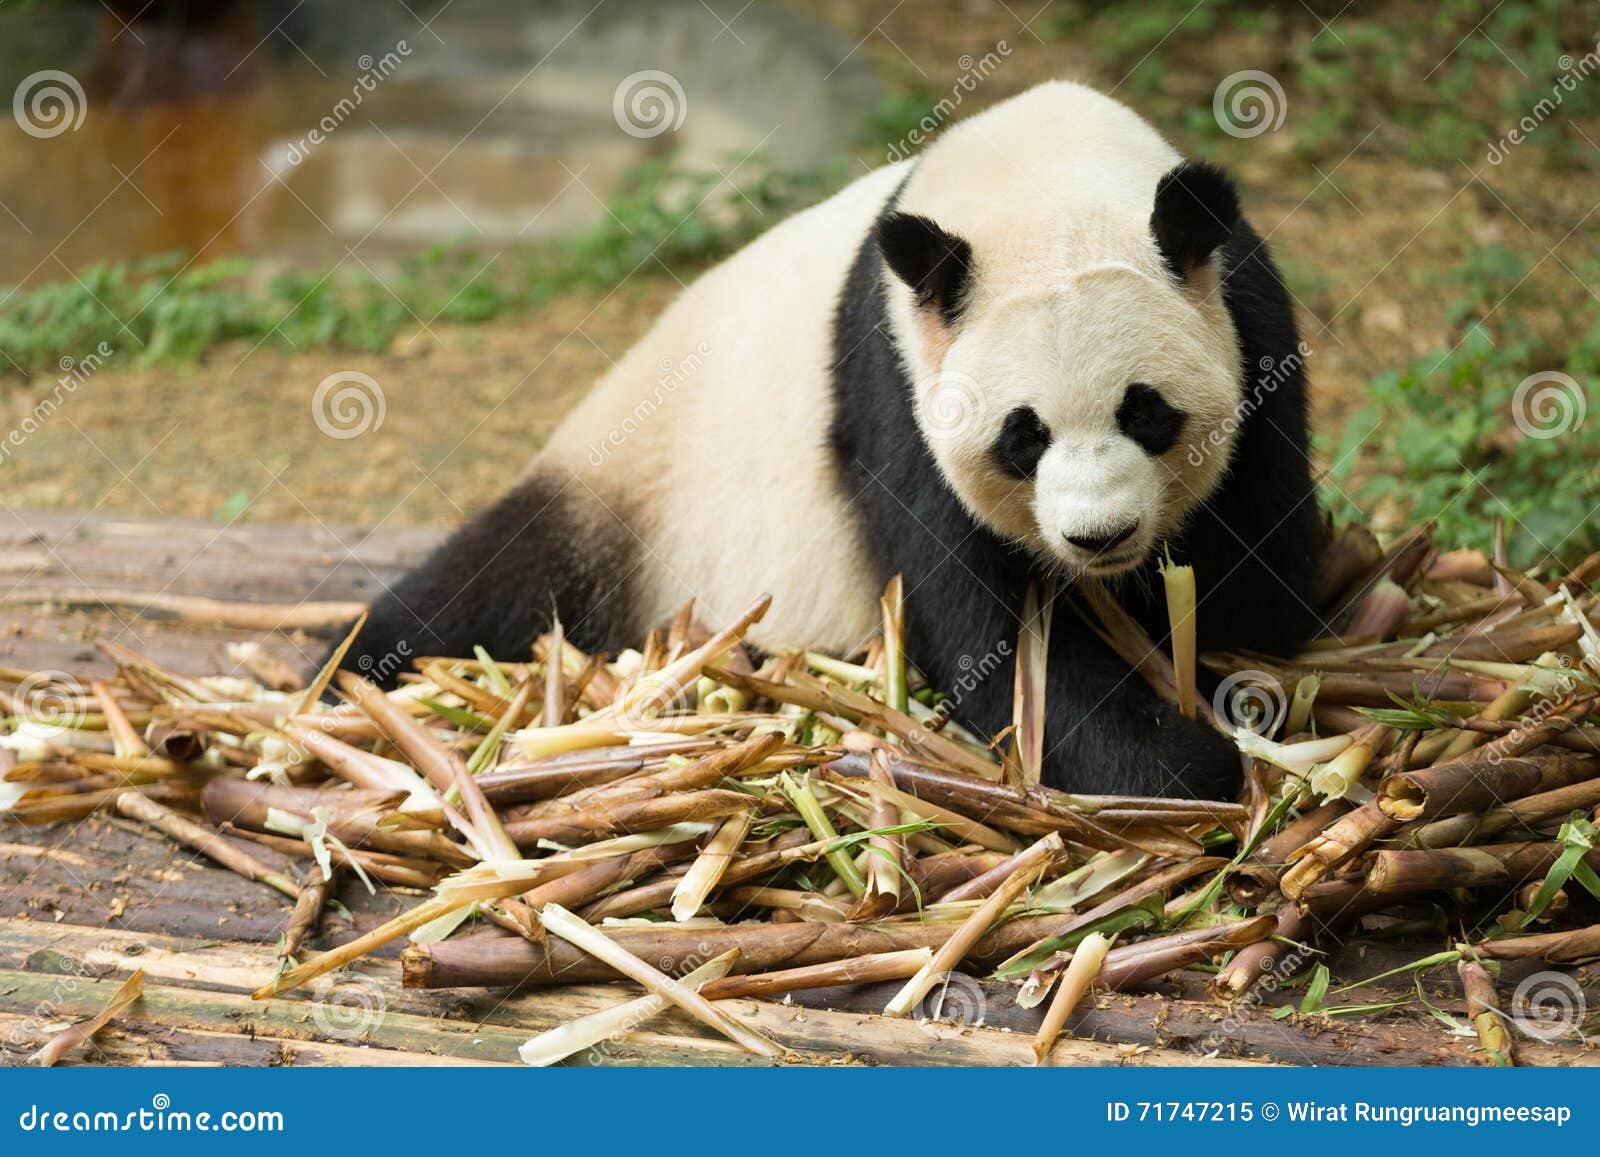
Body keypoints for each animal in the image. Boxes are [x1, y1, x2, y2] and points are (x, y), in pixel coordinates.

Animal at [339, 80, 1323, 799]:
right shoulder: (892, 382)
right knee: (496, 583)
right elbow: (991, 636)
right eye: (1023, 436)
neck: (1044, 176)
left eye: (1145, 412)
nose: (1100, 536)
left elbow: (1266, 589)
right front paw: (1182, 762)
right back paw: (351, 667)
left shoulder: (1252, 311)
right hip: (631, 487)